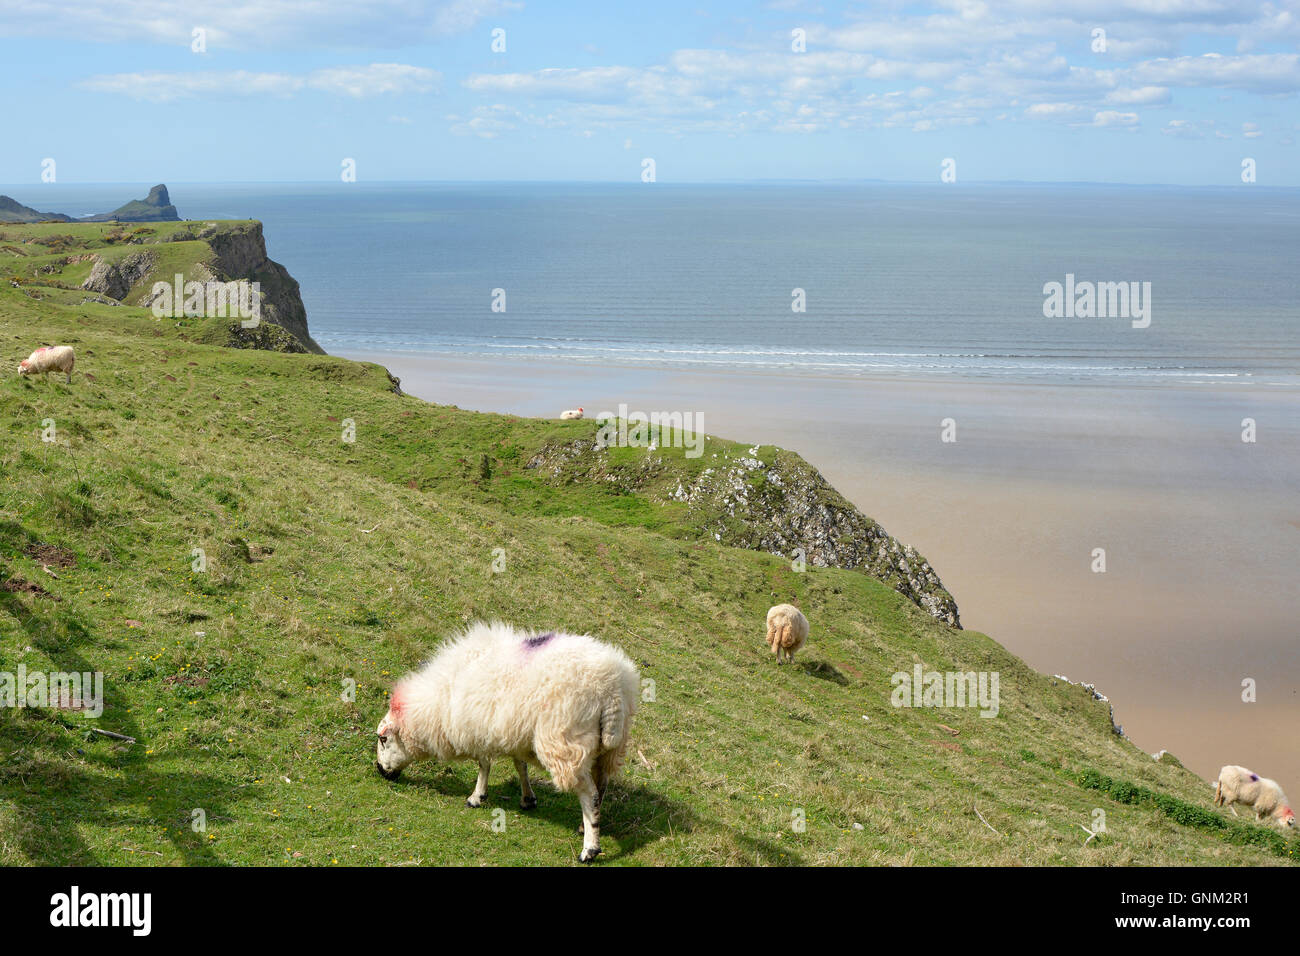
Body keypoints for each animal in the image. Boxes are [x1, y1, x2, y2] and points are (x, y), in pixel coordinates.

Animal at [376, 620, 639, 863]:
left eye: (383, 738)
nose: (379, 770)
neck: (439, 701)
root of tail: (611, 689)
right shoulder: (513, 731)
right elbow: (519, 765)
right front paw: (528, 798)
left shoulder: (479, 728)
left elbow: (484, 765)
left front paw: (477, 797)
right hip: (609, 749)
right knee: (601, 786)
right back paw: (586, 826)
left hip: (565, 743)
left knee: (589, 793)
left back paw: (589, 849)